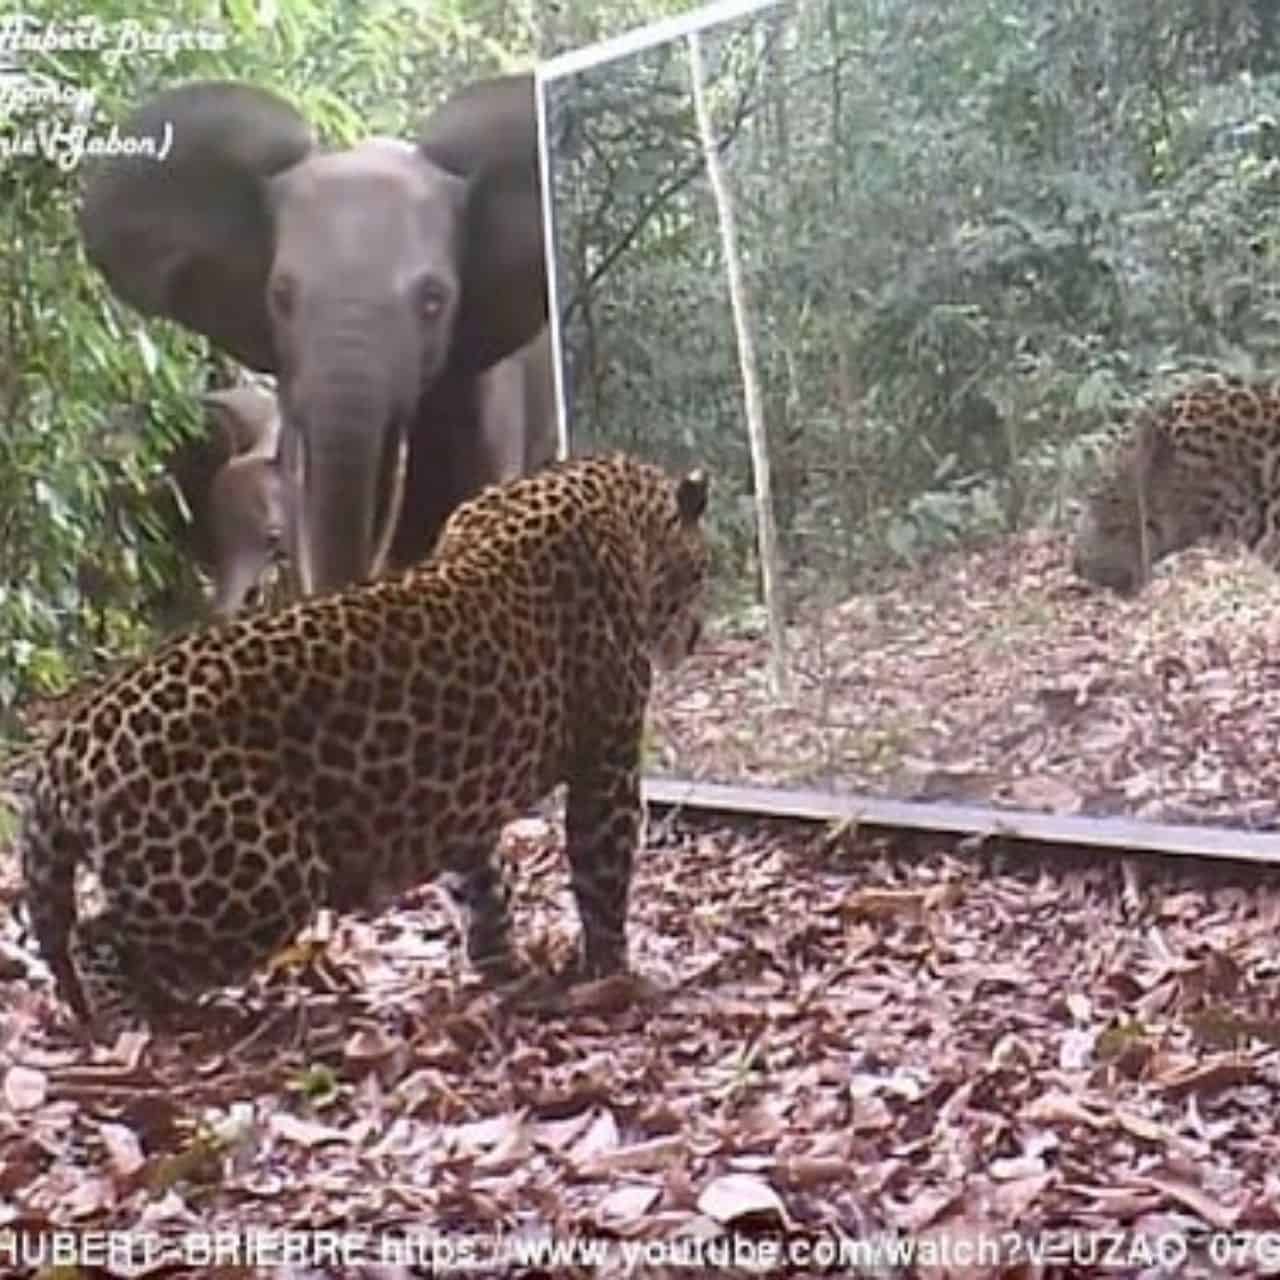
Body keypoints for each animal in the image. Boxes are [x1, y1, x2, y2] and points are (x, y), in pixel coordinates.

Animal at [20, 453, 710, 1036]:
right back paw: (141, 1017)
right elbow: (603, 870)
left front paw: (502, 967)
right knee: (98, 935)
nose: (698, 635)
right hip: (252, 877)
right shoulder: (607, 758)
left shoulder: (457, 803)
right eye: (702, 572)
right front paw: (615, 972)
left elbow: (481, 883)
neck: (625, 508)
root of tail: (66, 748)